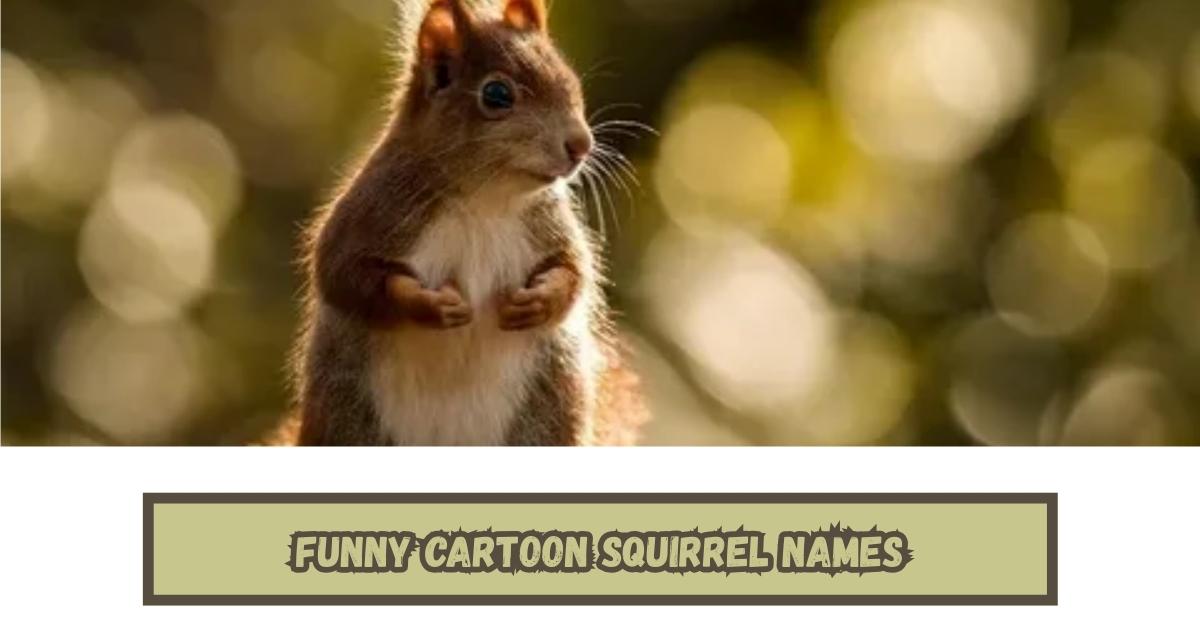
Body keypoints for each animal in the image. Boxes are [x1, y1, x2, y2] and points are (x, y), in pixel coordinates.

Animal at [283, 0, 647, 446]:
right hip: (350, 421)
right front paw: (430, 305)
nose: (581, 146)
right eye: (496, 94)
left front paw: (539, 300)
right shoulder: (369, 214)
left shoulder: (549, 225)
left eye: (570, 80)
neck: (484, 201)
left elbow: (574, 273)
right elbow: (344, 274)